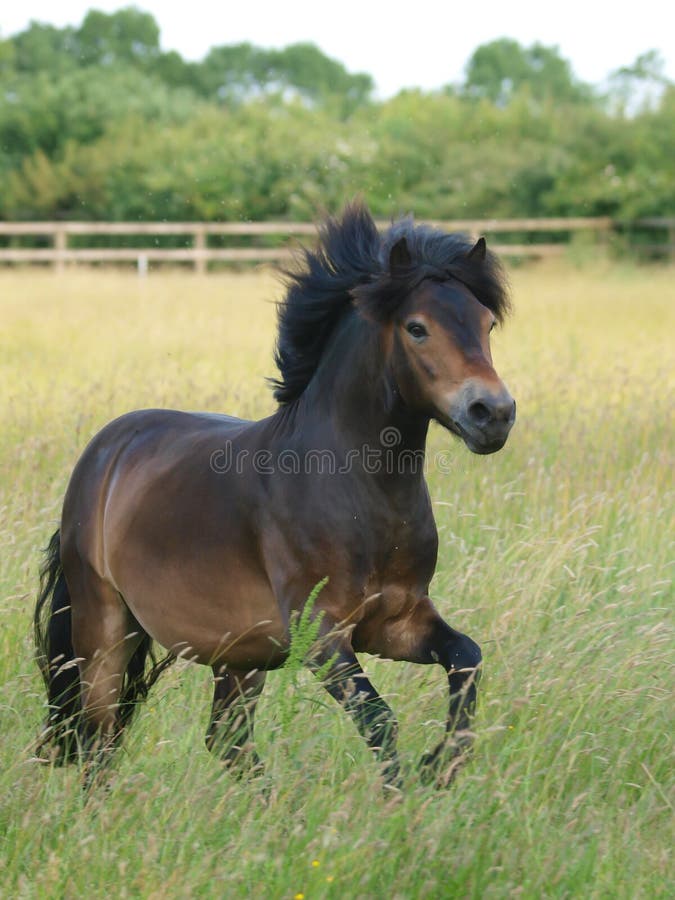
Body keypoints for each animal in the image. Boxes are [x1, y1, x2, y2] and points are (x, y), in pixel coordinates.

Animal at [34, 200, 515, 789]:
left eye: (487, 323)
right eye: (417, 328)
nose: (493, 413)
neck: (362, 497)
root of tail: (103, 453)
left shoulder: (396, 623)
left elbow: (467, 660)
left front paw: (440, 765)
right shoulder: (321, 634)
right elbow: (379, 719)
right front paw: (406, 795)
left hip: (239, 656)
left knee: (226, 743)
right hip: (104, 625)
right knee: (97, 738)